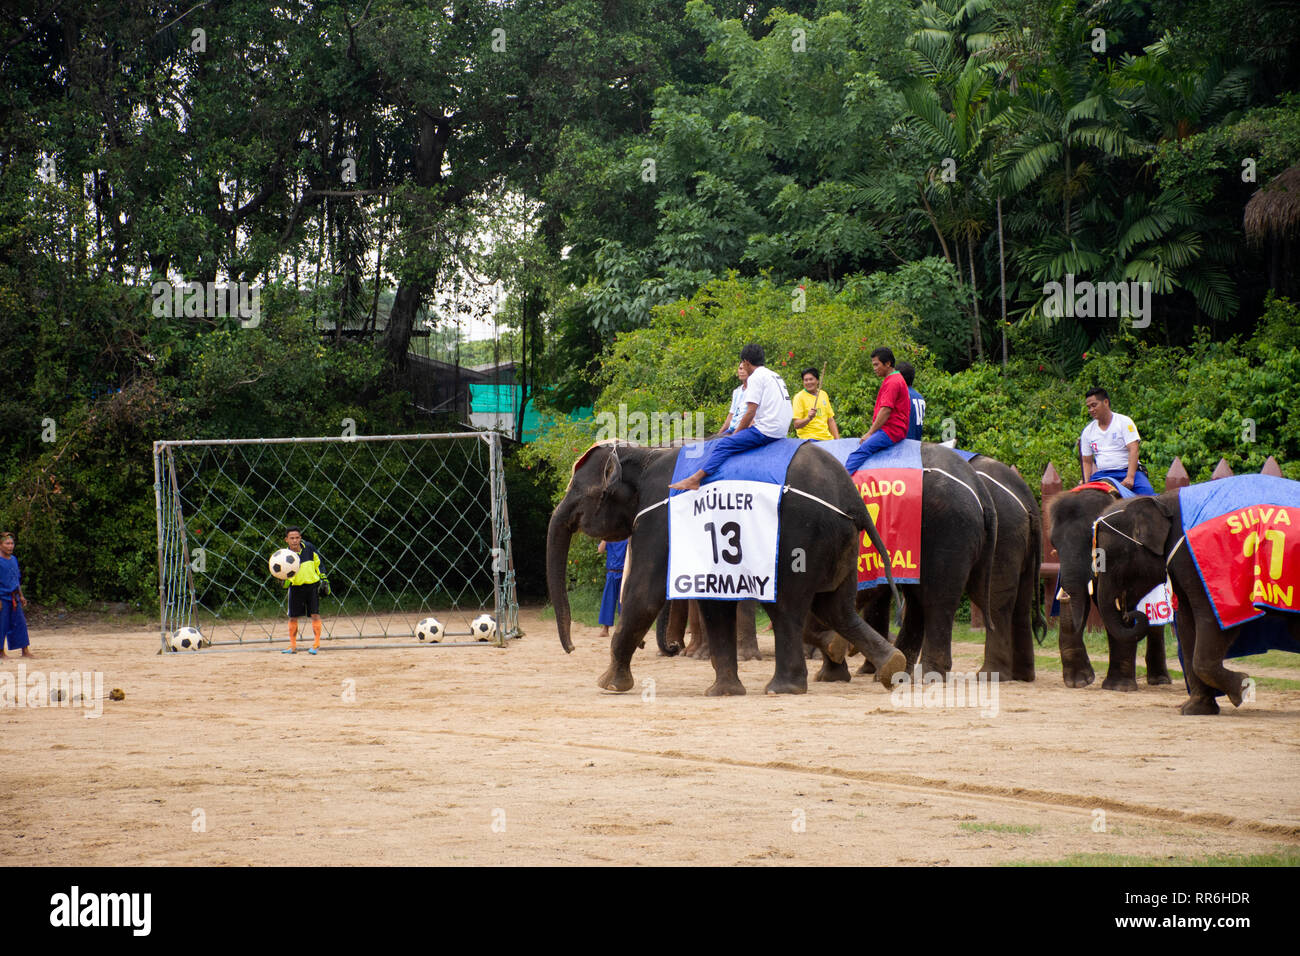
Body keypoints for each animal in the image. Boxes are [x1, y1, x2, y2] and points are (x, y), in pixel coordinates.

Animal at [547, 440, 908, 696]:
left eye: (577, 492)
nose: (571, 648)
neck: (643, 453)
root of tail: (852, 500)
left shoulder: (659, 515)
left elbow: (644, 593)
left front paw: (608, 684)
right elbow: (713, 598)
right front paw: (722, 692)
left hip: (799, 540)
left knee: (786, 608)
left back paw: (783, 689)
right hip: (843, 545)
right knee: (837, 608)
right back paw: (890, 665)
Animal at [808, 443, 998, 682]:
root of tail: (979, 488)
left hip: (948, 531)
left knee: (937, 600)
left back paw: (927, 676)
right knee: (919, 601)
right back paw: (898, 674)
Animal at [1048, 486, 1171, 690]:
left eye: (1091, 541)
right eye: (1053, 544)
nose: (1063, 596)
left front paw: (1118, 687)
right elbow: (1084, 603)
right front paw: (1079, 682)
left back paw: (1159, 681)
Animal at [1090, 484, 1300, 714]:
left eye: (1108, 556)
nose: (1129, 615)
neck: (1161, 500)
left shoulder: (1207, 564)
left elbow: (1211, 619)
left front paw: (1242, 688)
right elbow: (1187, 622)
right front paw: (1196, 709)